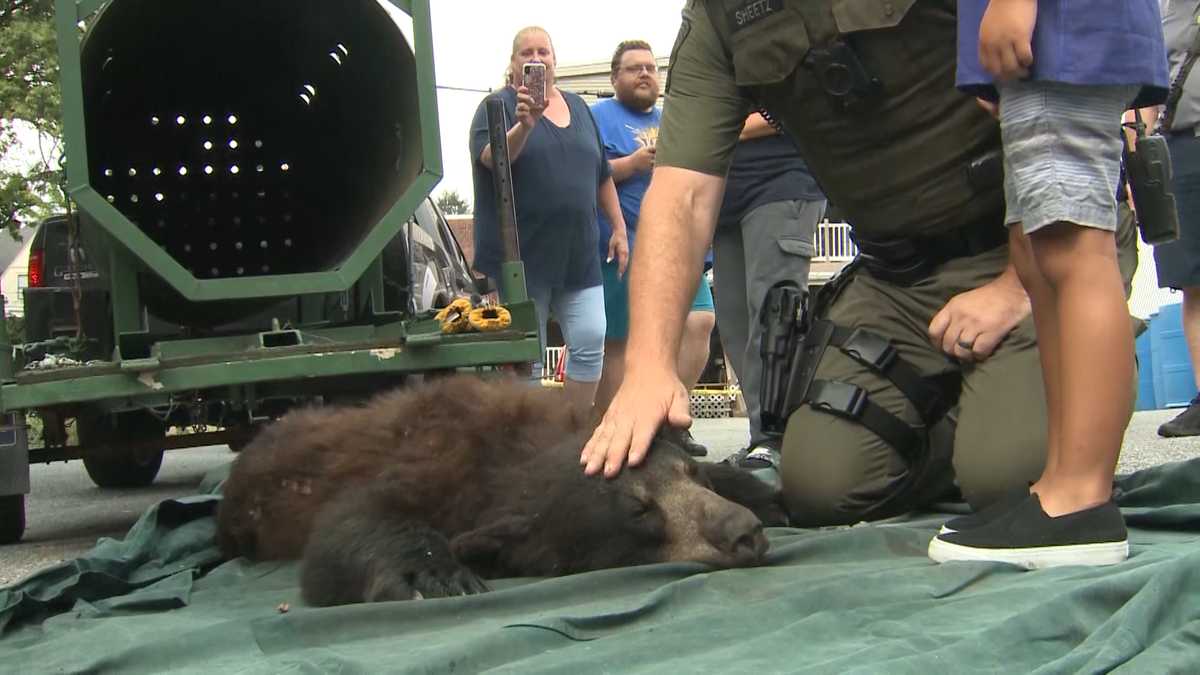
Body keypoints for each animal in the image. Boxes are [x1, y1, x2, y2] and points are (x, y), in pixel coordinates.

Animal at [216, 375, 785, 607]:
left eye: (692, 477)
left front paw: (775, 499)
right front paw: (439, 575)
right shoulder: (431, 463)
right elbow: (349, 521)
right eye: (639, 511)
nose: (743, 532)